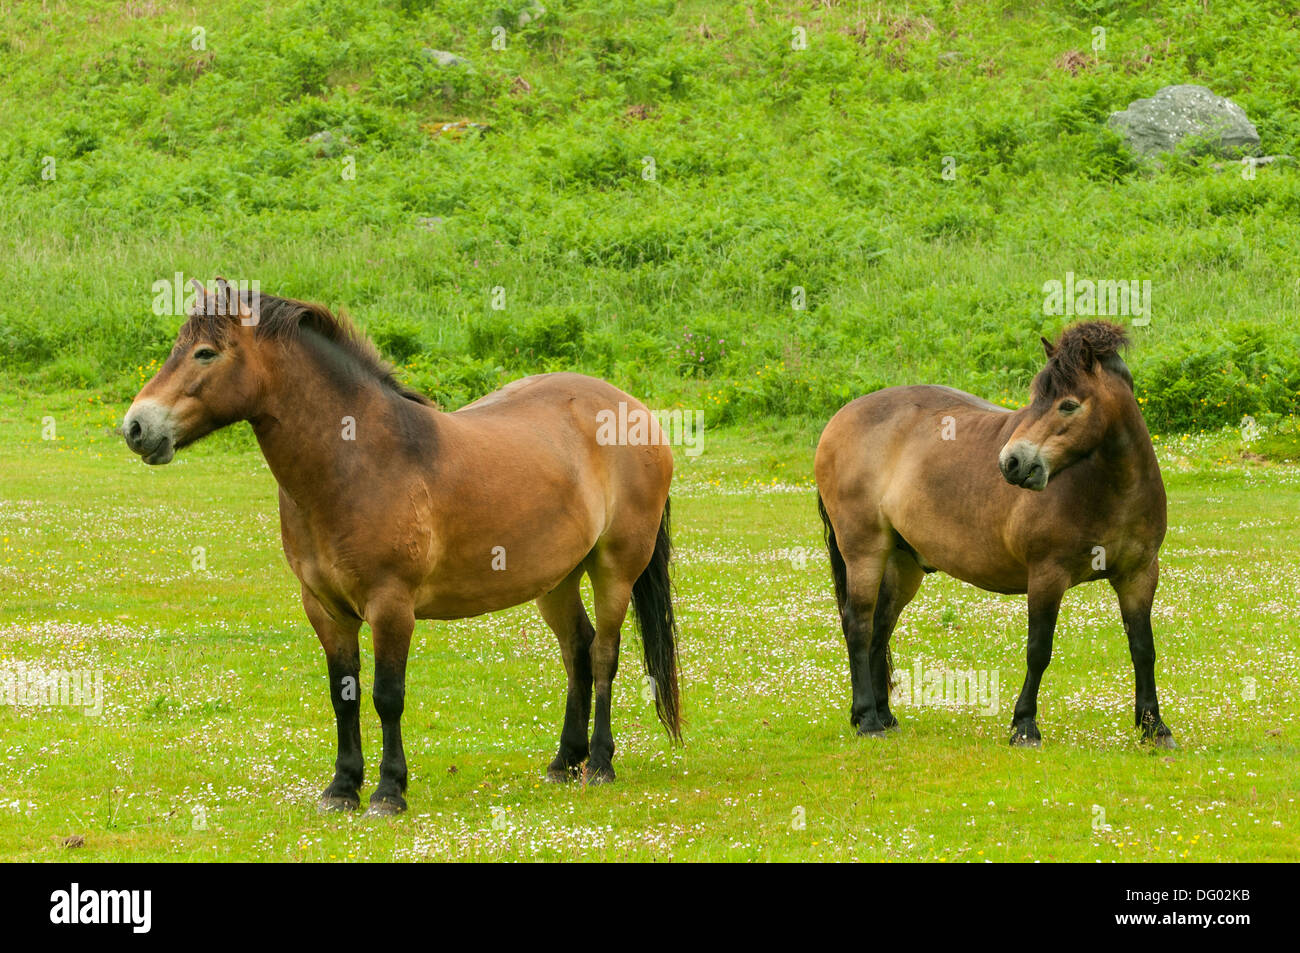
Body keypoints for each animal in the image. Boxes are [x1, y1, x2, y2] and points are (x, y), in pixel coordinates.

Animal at [123, 278, 681, 814]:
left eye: (205, 353)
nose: (135, 427)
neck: (359, 458)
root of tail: (635, 410)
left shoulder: (390, 606)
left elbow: (387, 696)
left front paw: (388, 792)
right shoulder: (325, 608)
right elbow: (343, 696)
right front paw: (342, 788)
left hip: (614, 569)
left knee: (604, 653)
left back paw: (600, 764)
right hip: (557, 578)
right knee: (578, 652)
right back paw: (564, 762)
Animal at [814, 321, 1174, 748]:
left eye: (1068, 404)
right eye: (1037, 399)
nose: (1012, 462)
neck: (1113, 489)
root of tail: (840, 419)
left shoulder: (1139, 576)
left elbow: (1144, 649)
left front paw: (1154, 727)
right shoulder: (1047, 575)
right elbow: (1039, 650)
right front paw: (1025, 725)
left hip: (903, 564)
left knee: (880, 630)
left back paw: (885, 717)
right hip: (864, 551)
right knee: (858, 625)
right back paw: (868, 719)